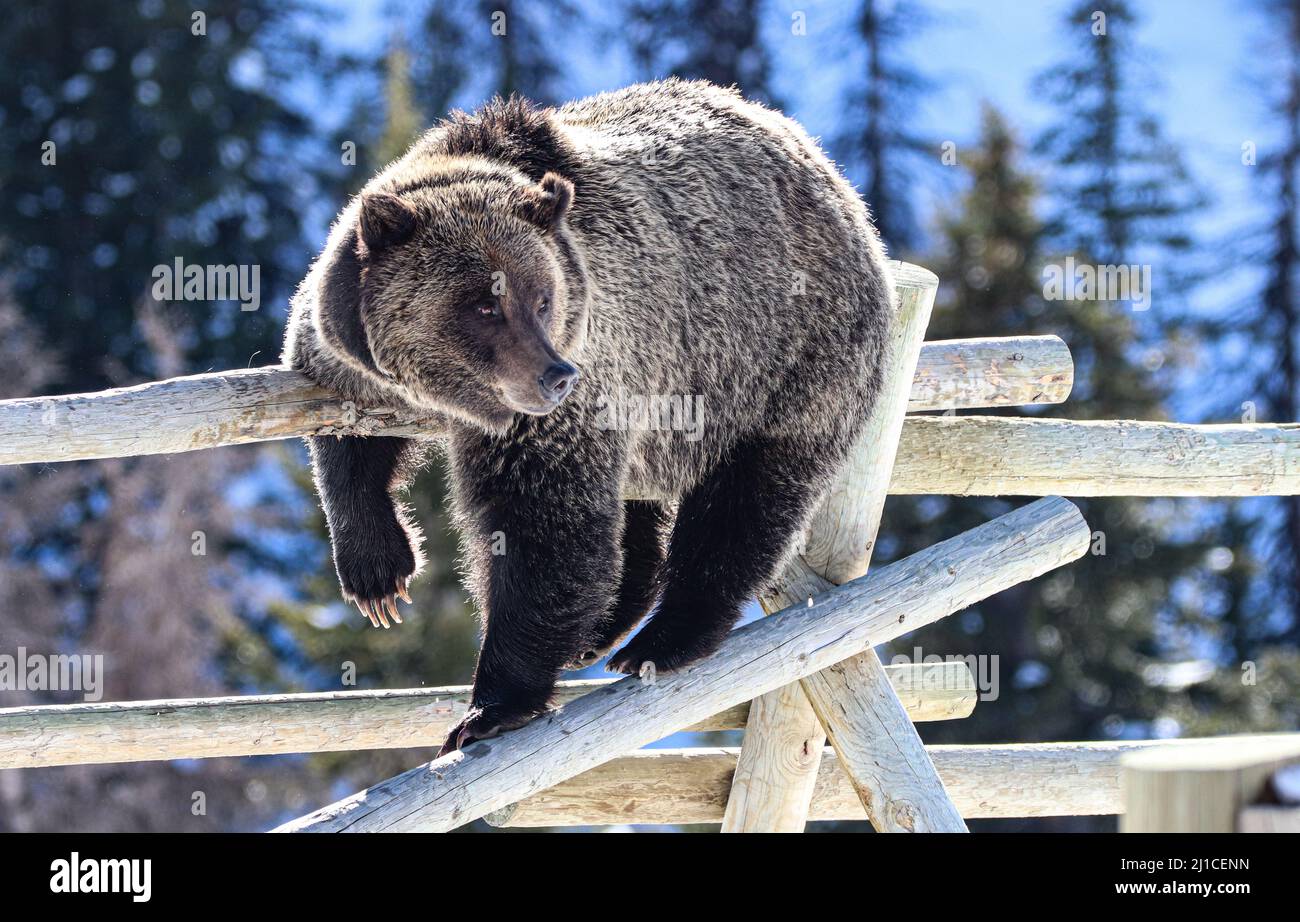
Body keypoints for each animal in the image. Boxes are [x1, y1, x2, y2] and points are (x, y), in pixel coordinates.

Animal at [282, 79, 894, 755]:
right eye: (483, 305)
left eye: (541, 298)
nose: (554, 375)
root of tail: (834, 180)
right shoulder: (347, 356)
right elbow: (350, 447)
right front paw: (379, 573)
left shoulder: (585, 375)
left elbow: (547, 527)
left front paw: (490, 704)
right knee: (639, 505)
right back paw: (604, 628)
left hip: (781, 360)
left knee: (744, 501)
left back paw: (662, 638)